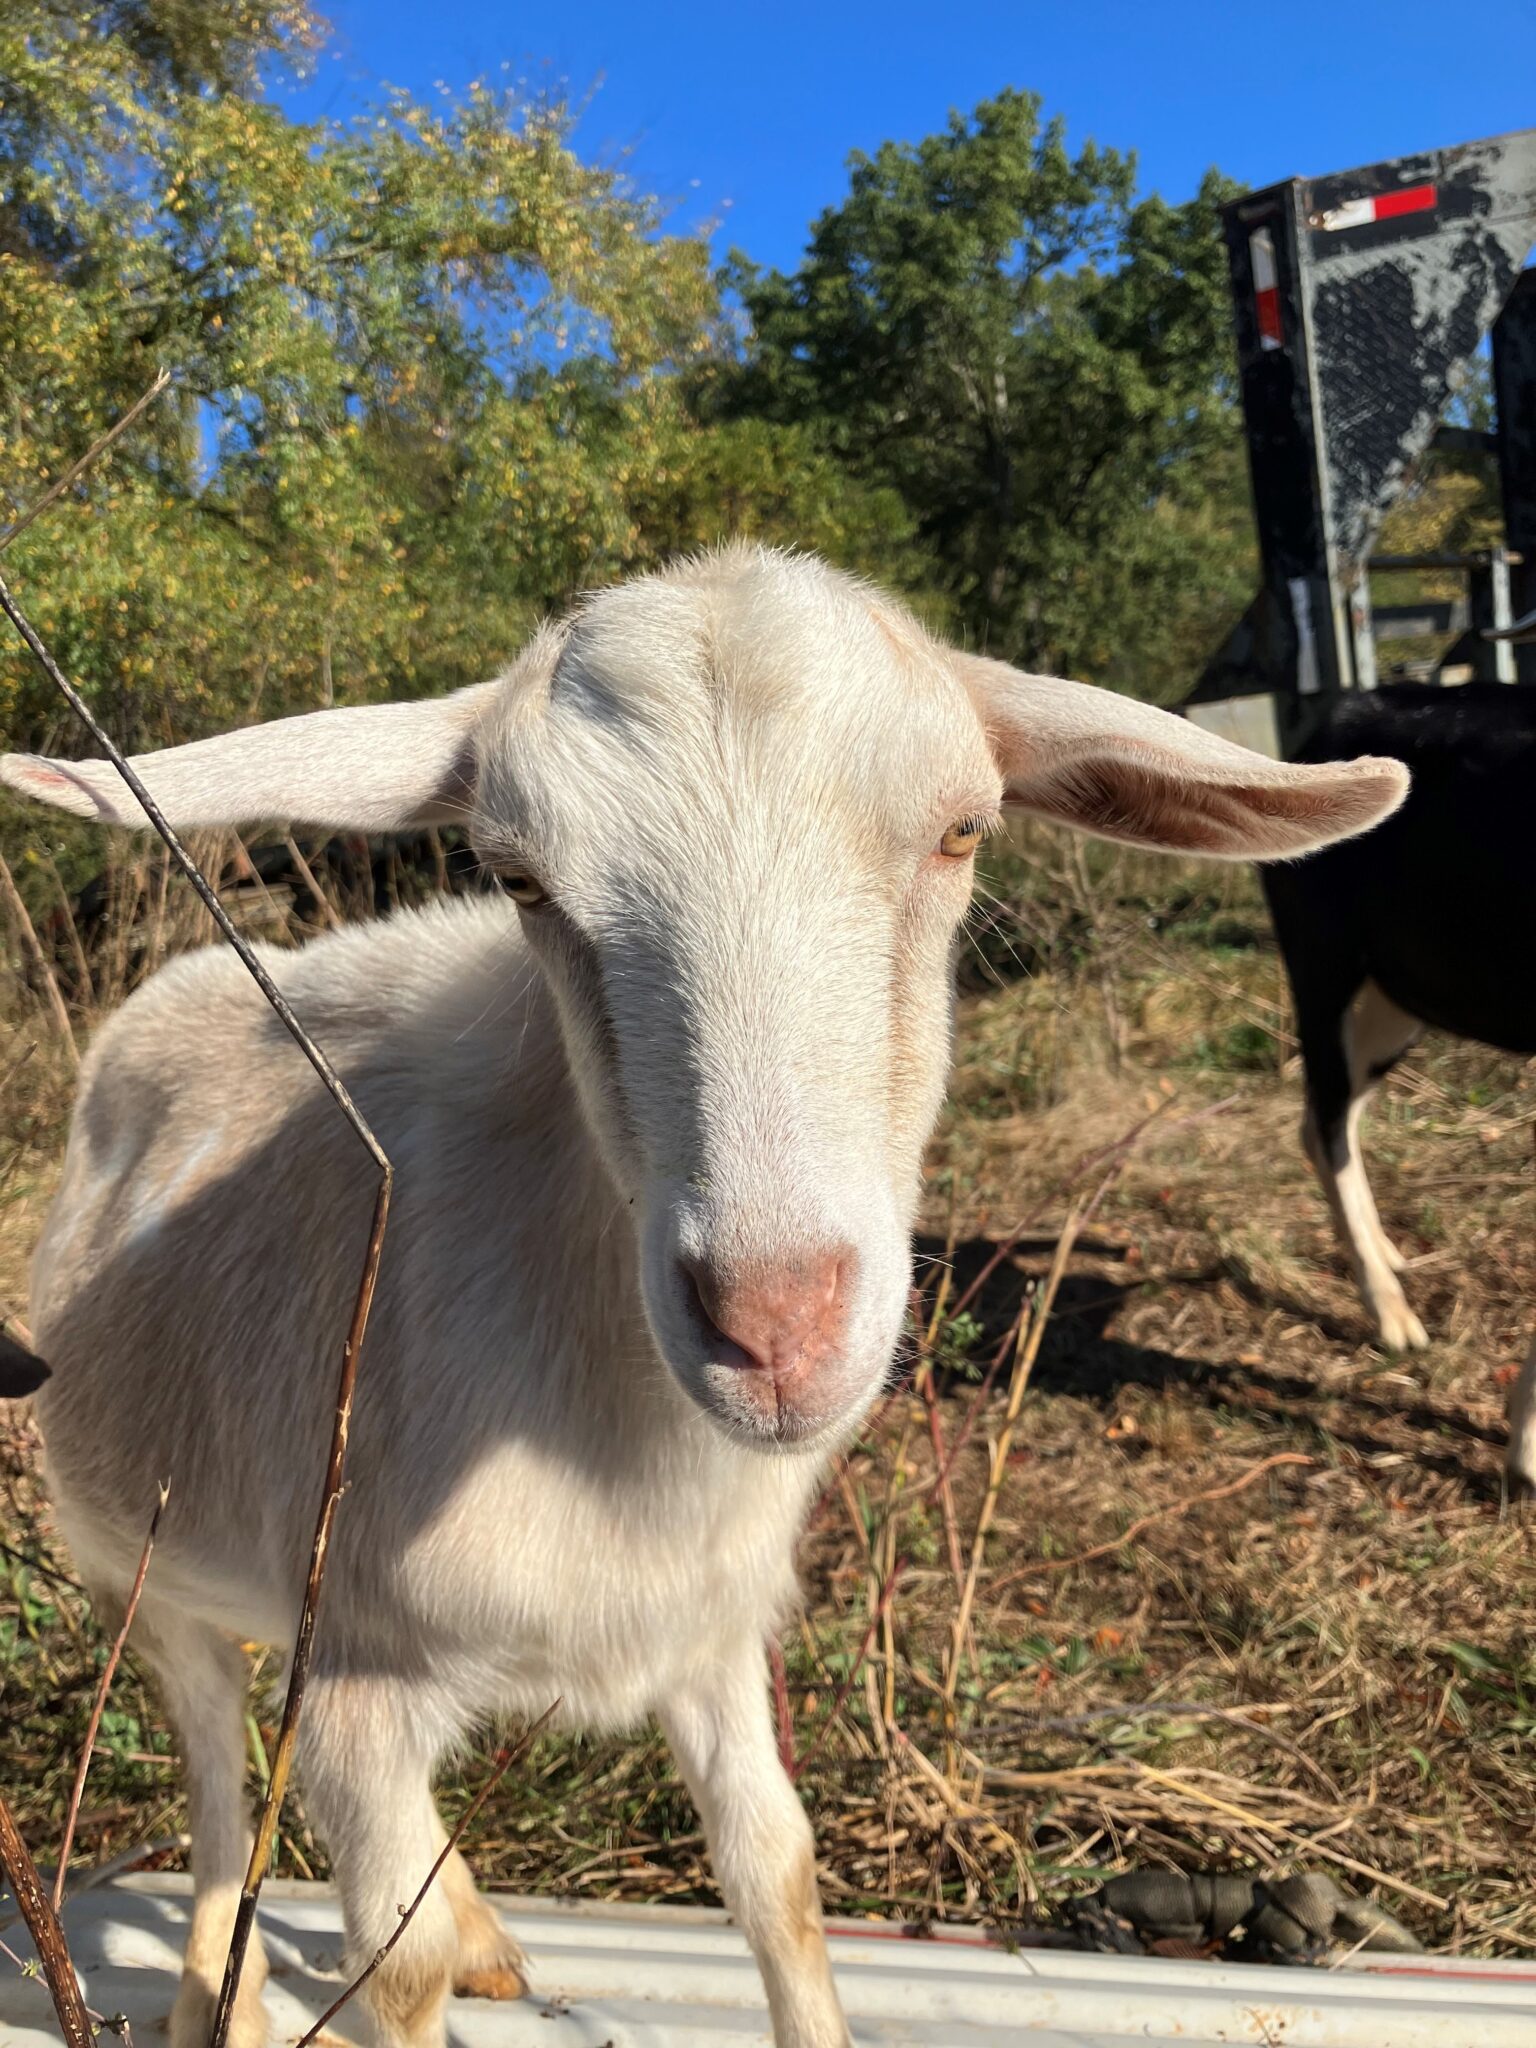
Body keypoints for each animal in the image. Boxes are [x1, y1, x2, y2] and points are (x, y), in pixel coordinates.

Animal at [0, 546, 1405, 2048]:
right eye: (518, 877)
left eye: (965, 830)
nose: (774, 1324)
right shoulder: (364, 1686)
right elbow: (393, 1964)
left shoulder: (711, 1631)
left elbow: (775, 1873)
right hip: (130, 1565)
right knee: (214, 1771)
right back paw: (219, 1985)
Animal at [1259, 683, 1536, 1487]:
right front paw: (1524, 1454)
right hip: (1319, 958)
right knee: (1325, 1116)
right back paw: (1390, 1313)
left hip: (1403, 993)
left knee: (1331, 1113)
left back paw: (1384, 1258)